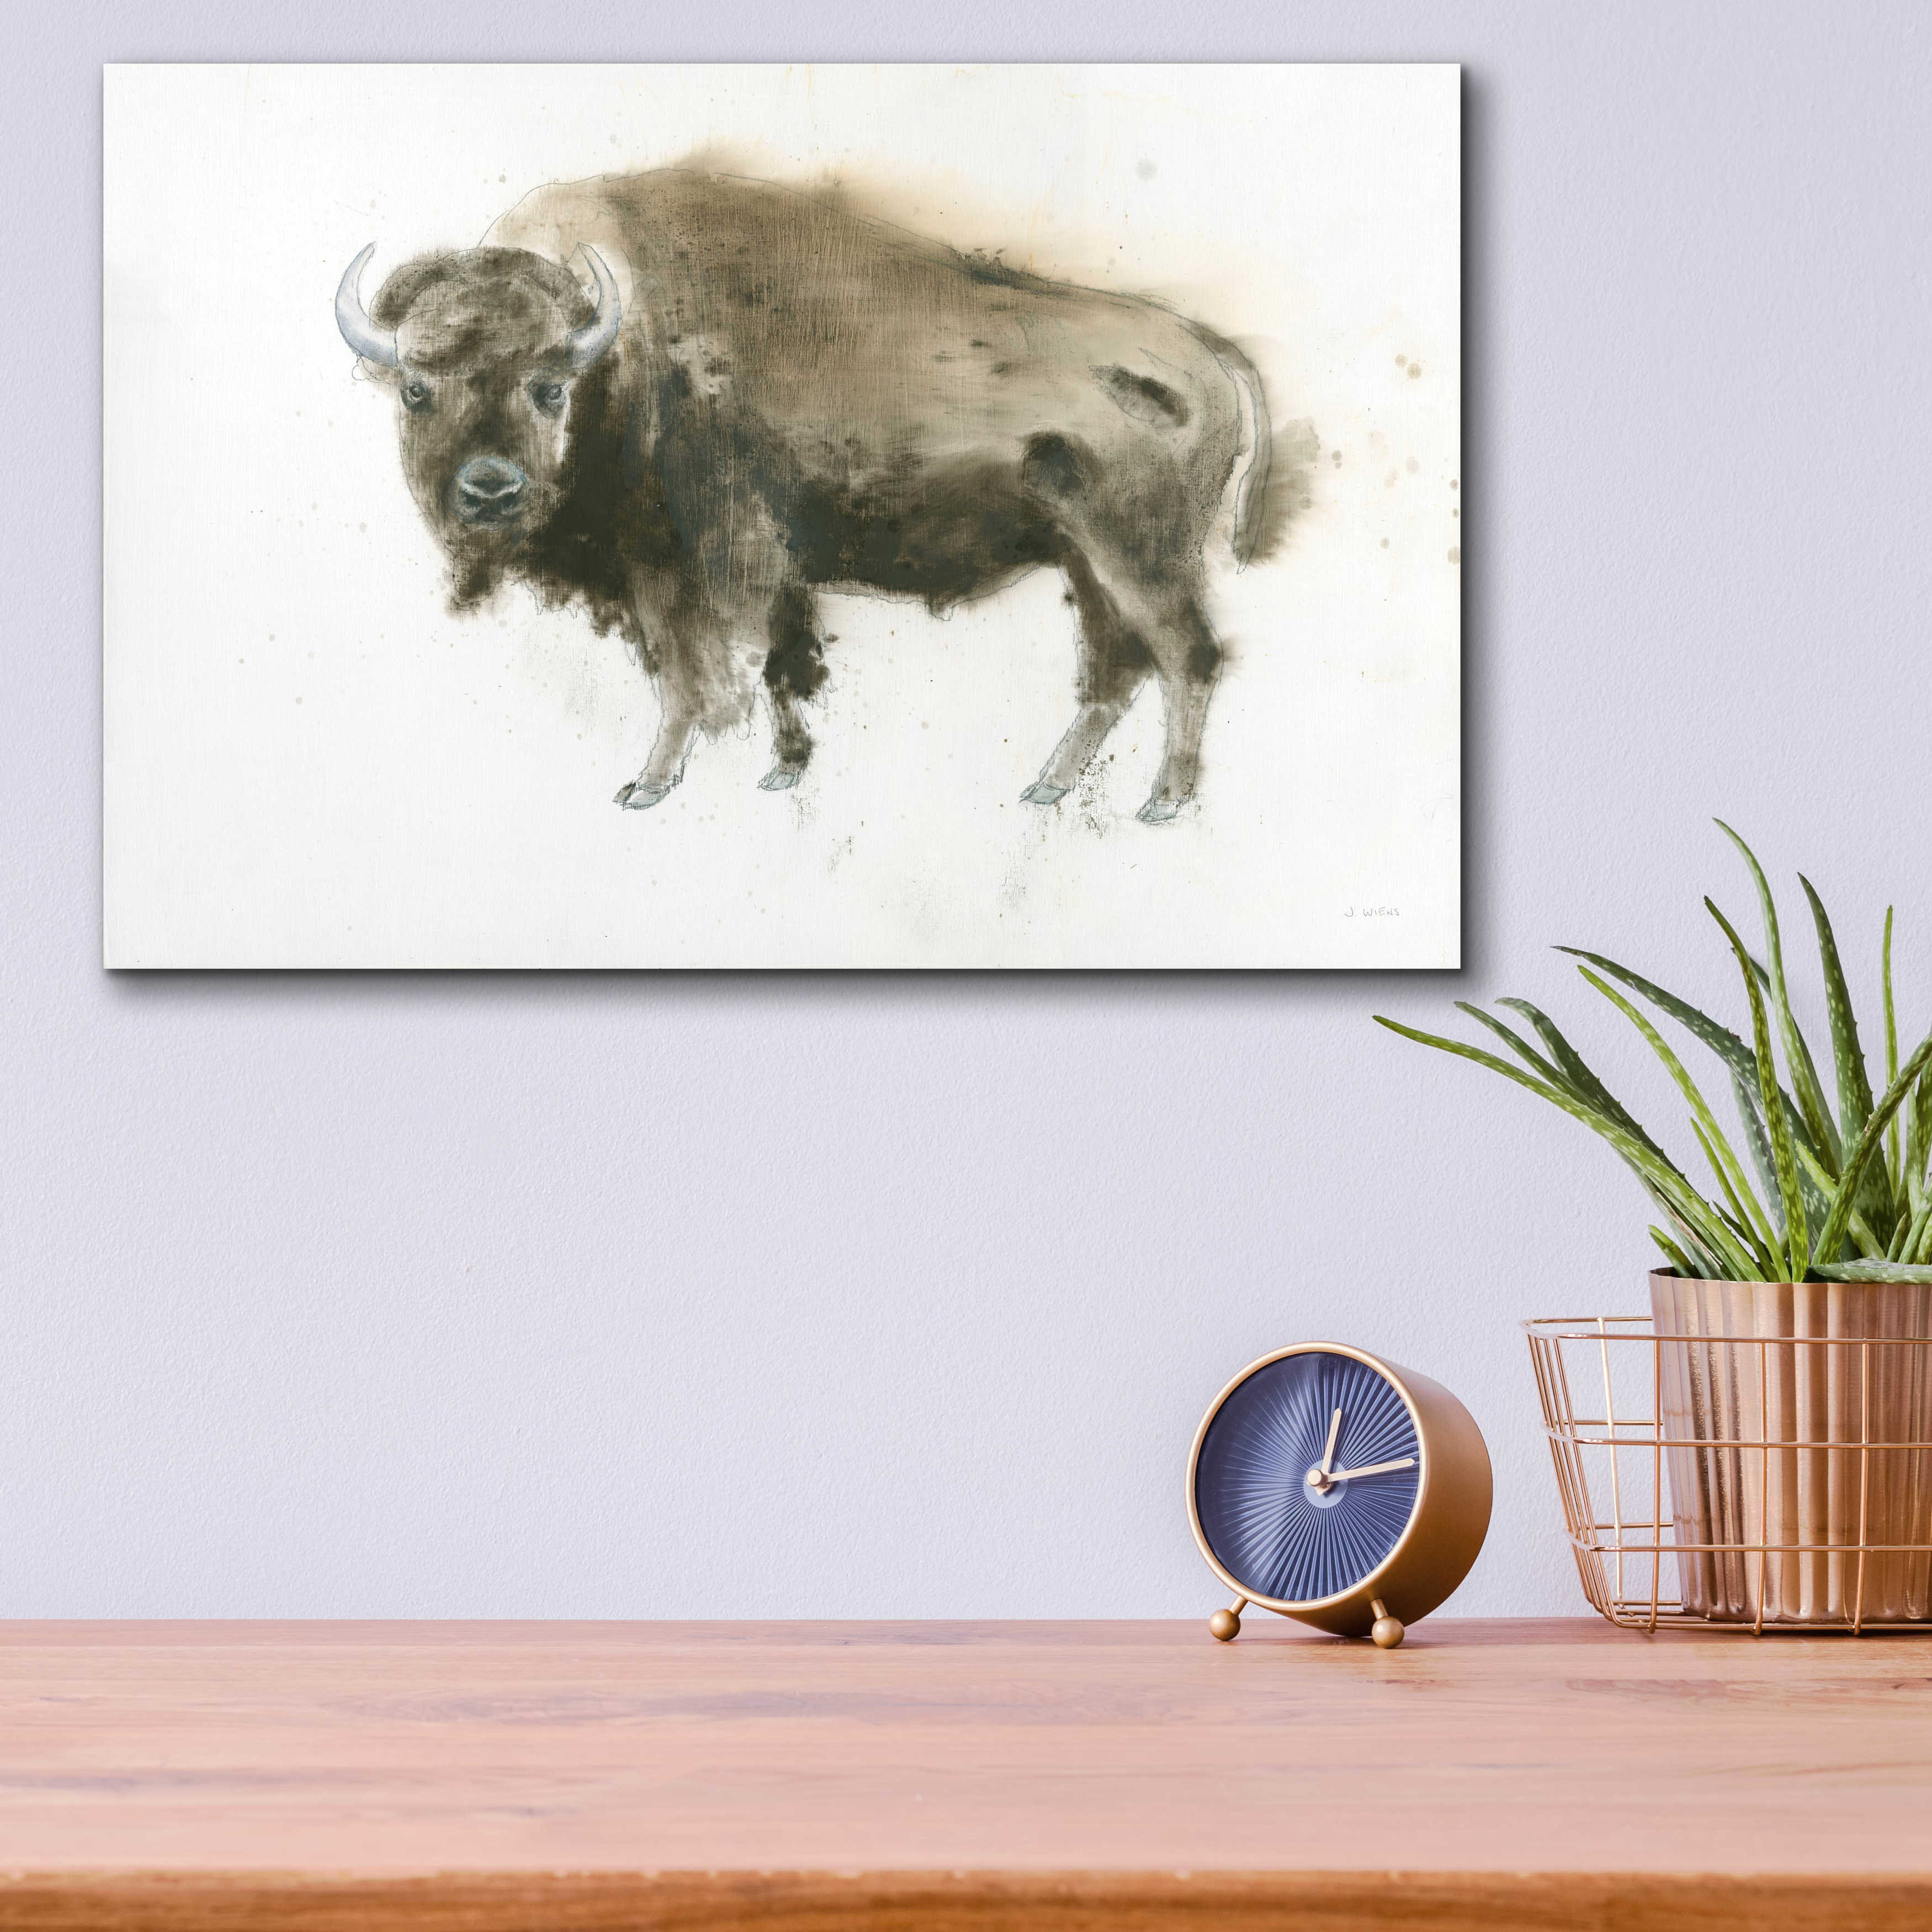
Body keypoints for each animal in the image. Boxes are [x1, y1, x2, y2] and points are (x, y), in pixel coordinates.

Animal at [336, 169, 1278, 822]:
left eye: (548, 387)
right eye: (416, 390)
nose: (490, 489)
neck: (623, 352)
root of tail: (1207, 350)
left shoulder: (688, 570)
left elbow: (698, 676)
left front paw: (648, 786)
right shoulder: (724, 576)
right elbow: (766, 663)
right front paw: (782, 768)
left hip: (1141, 558)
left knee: (1188, 656)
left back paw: (1163, 802)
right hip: (1086, 565)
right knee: (1114, 671)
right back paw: (1047, 788)